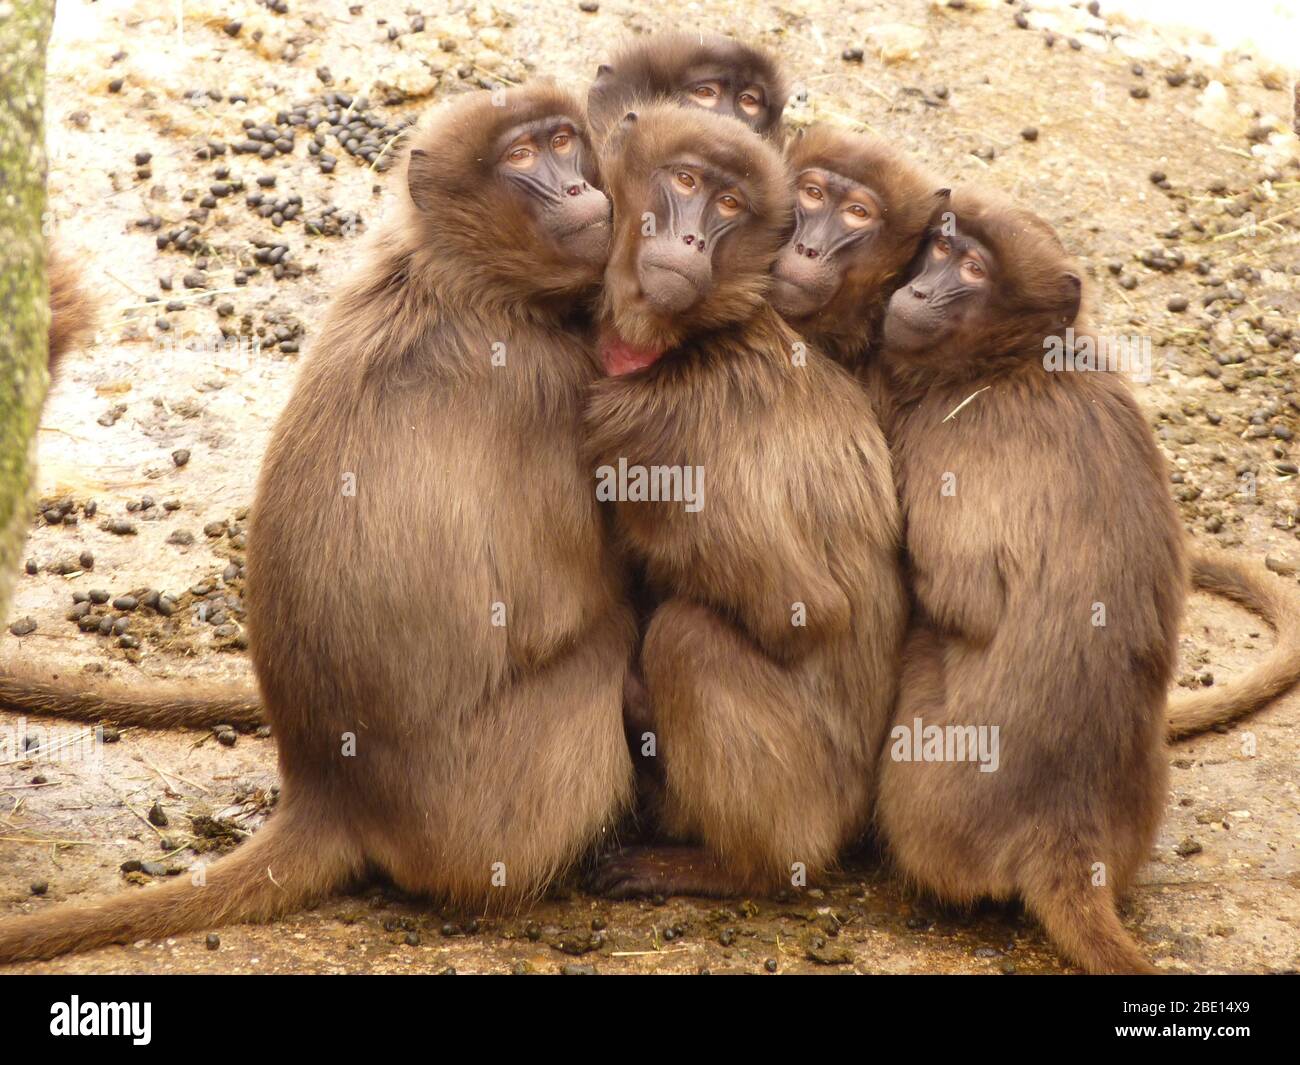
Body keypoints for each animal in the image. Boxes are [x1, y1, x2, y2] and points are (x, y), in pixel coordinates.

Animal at [0, 83, 636, 963]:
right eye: (521, 156)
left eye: (565, 140)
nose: (577, 187)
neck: (455, 276)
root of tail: (333, 791)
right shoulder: (548, 382)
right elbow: (569, 604)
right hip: (498, 811)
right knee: (610, 645)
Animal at [581, 103, 907, 898]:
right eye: (686, 181)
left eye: (728, 204)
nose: (691, 237)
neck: (686, 340)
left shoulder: (667, 429)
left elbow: (804, 610)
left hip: (808, 798)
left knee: (688, 638)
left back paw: (730, 867)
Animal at [870, 186, 1187, 973]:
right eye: (941, 247)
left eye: (974, 269)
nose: (917, 291)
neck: (1016, 363)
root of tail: (1067, 830)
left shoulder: (954, 440)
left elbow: (961, 598)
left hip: (939, 798)